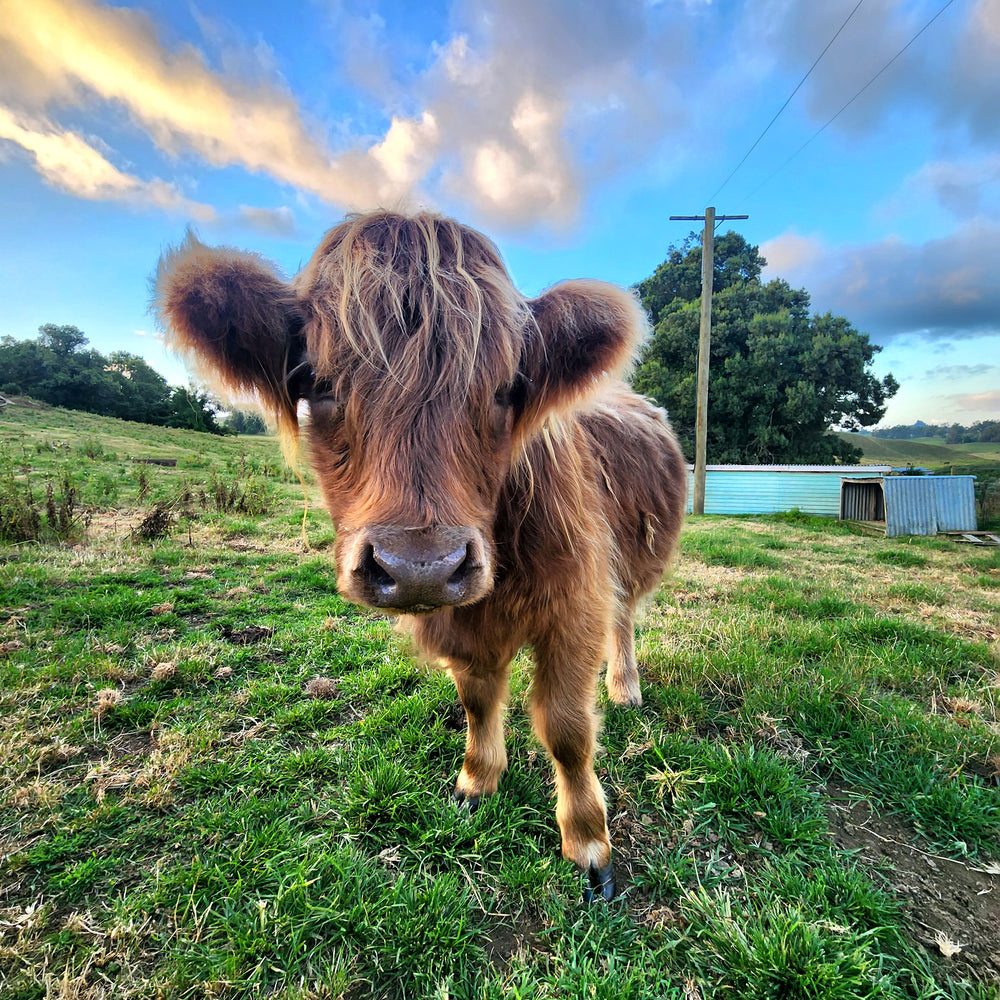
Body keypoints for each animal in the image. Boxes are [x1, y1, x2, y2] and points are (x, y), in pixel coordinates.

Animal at [154, 210, 687, 902]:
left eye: (505, 390)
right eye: (317, 383)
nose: (420, 567)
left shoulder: (576, 606)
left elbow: (567, 729)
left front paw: (589, 845)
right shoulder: (458, 621)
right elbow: (478, 701)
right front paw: (477, 780)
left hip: (629, 568)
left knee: (625, 619)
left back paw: (624, 688)